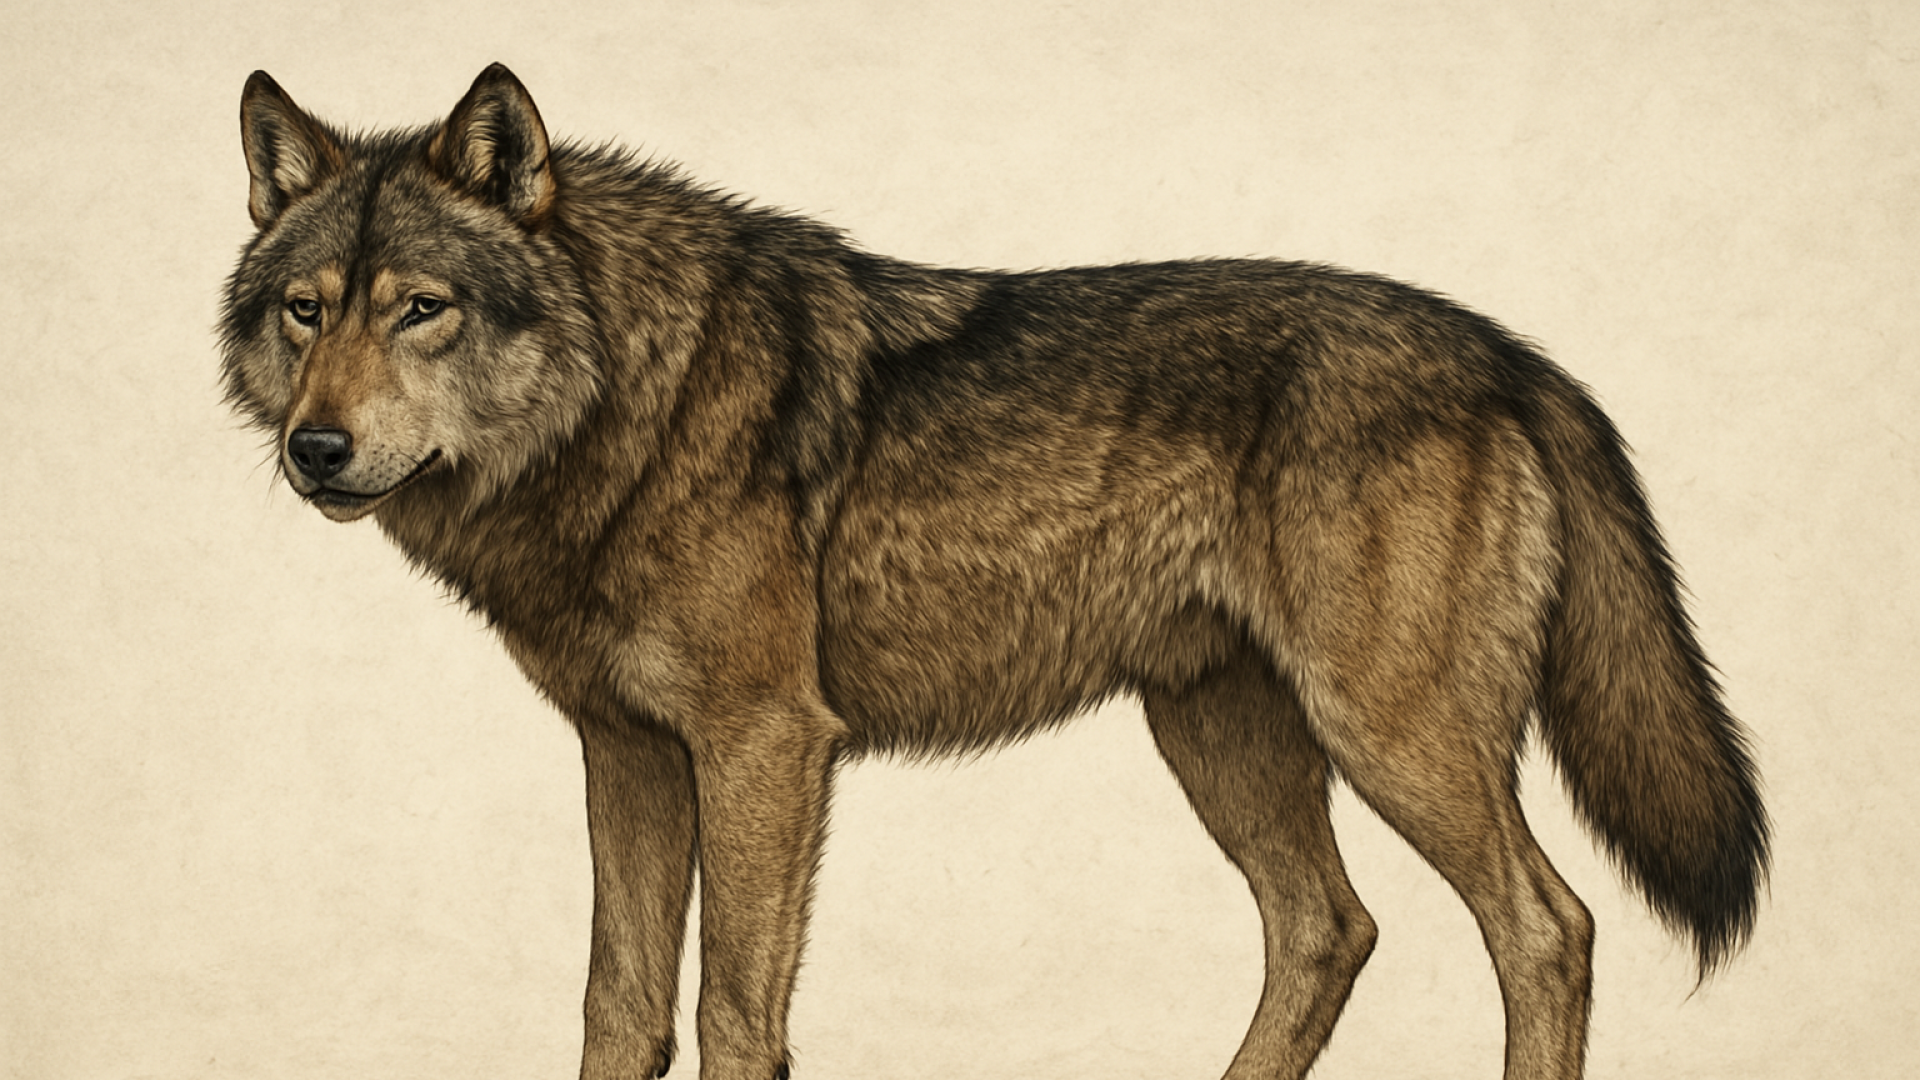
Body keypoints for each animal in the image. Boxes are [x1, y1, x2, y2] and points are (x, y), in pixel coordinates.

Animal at [220, 64, 1767, 1080]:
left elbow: (733, 1010)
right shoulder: (630, 752)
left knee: (1547, 928)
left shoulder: (766, 743)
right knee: (1329, 929)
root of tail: (1510, 352)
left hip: (1392, 741)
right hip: (1222, 740)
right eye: (306, 312)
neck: (628, 404)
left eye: (421, 310)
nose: (316, 449)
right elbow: (617, 1004)